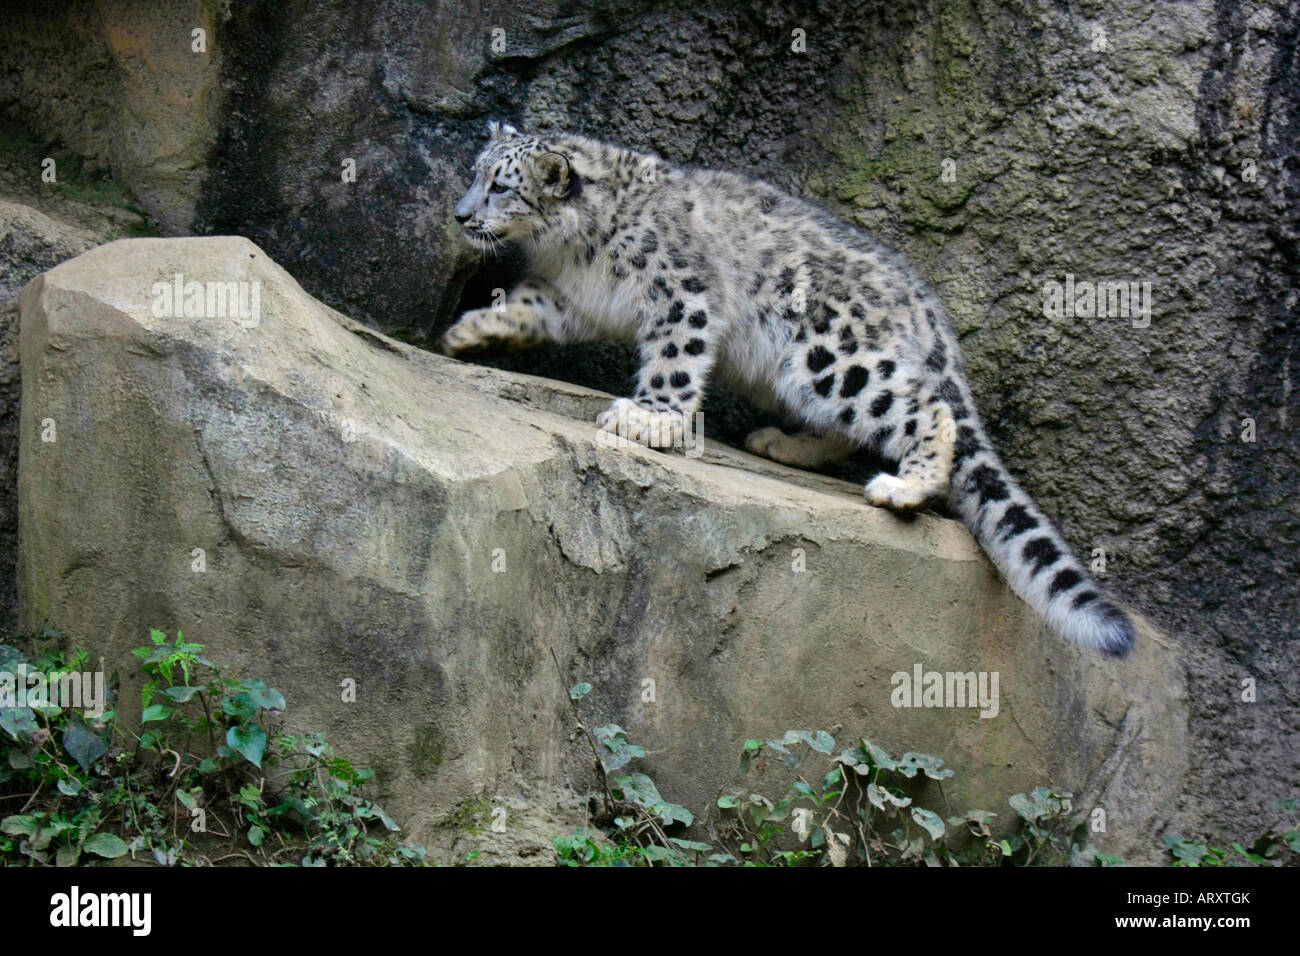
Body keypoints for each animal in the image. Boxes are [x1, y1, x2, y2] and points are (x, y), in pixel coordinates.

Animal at [441, 121, 1137, 656]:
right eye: (475, 174)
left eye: (500, 185)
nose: (460, 214)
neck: (573, 253)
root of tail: (924, 305)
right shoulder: (567, 299)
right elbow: (525, 307)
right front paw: (469, 331)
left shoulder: (683, 291)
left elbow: (675, 357)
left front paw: (650, 418)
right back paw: (785, 444)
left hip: (829, 356)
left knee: (925, 407)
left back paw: (905, 486)